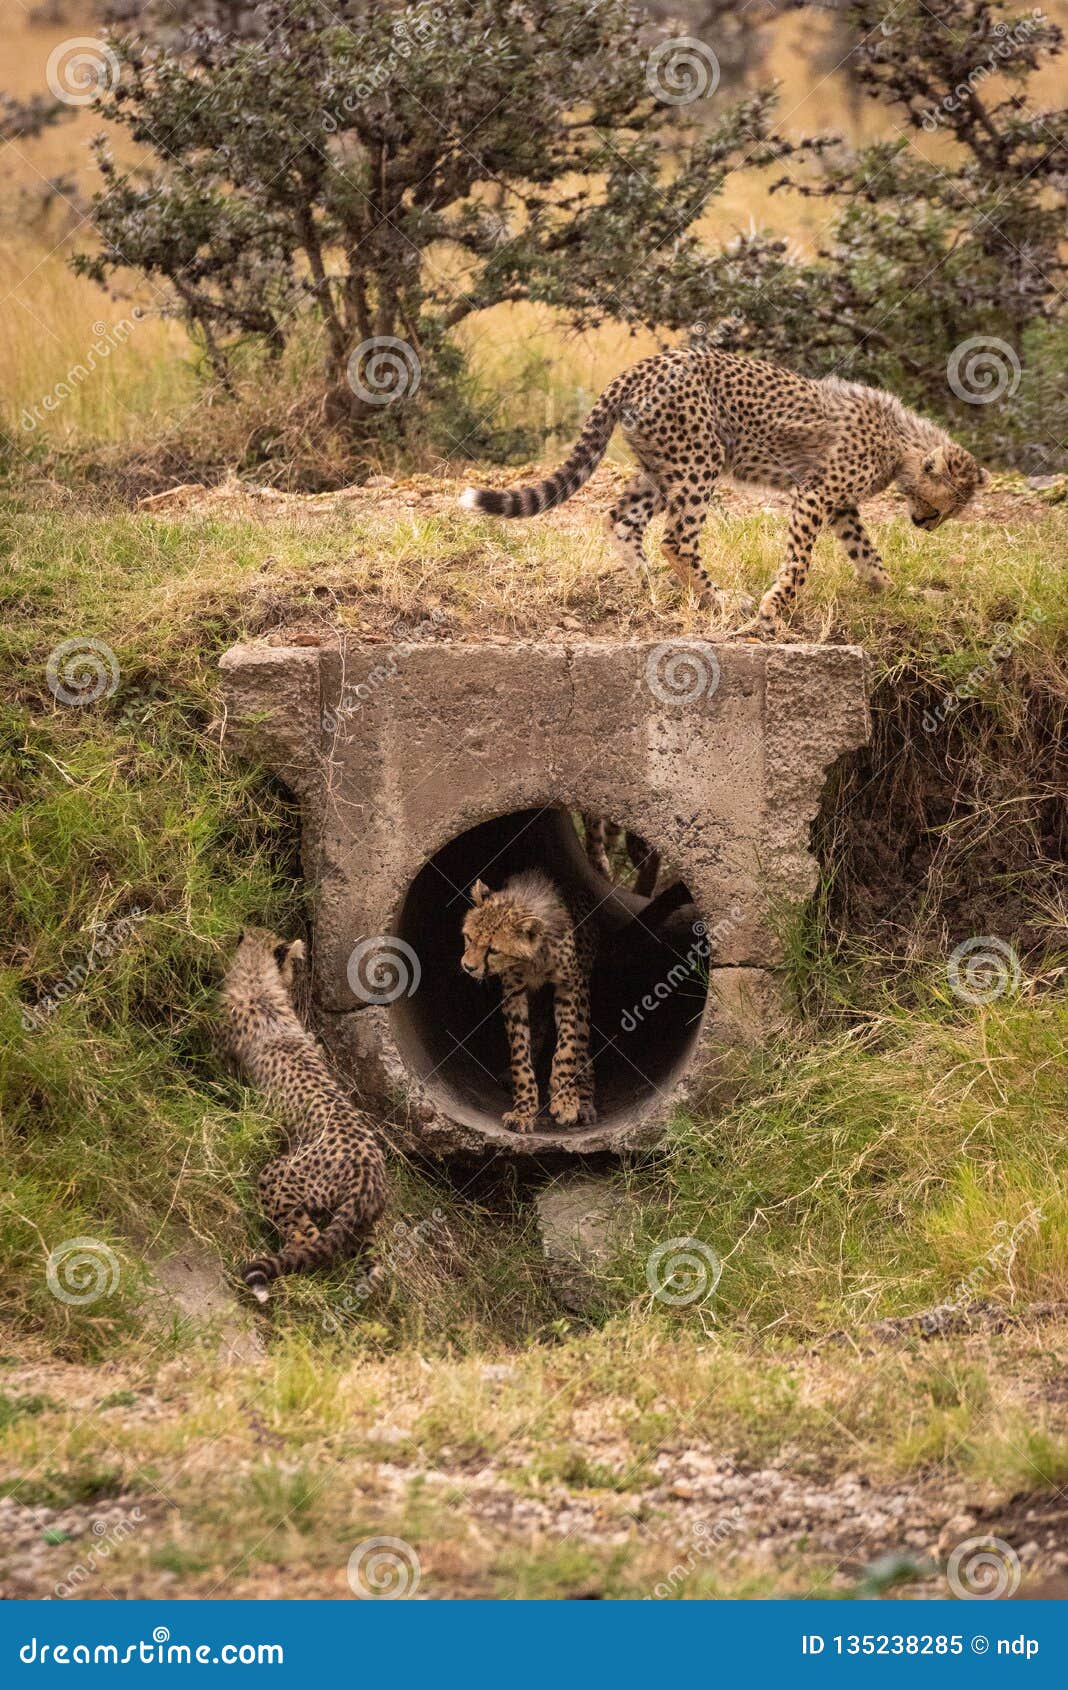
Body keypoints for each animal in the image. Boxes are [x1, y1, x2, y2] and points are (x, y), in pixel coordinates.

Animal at [219, 927, 387, 1301]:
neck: (258, 980)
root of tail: (369, 1171)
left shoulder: (225, 1060)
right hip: (361, 1225)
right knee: (373, 1265)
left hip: (281, 1176)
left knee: (306, 1238)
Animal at [460, 347, 987, 634]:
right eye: (942, 506)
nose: (926, 525)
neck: (902, 443)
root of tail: (644, 364)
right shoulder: (815, 494)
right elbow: (800, 563)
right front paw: (775, 608)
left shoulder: (840, 505)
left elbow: (866, 551)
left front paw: (892, 589)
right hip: (701, 458)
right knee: (677, 538)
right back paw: (719, 600)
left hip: (661, 466)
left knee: (621, 519)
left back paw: (646, 584)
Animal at [460, 871, 597, 1133]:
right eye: (468, 937)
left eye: (493, 950)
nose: (468, 967)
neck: (534, 956)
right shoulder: (514, 993)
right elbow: (520, 1052)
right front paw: (523, 1110)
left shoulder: (568, 985)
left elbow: (567, 1046)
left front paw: (565, 1101)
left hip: (583, 983)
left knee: (582, 1041)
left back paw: (584, 1101)